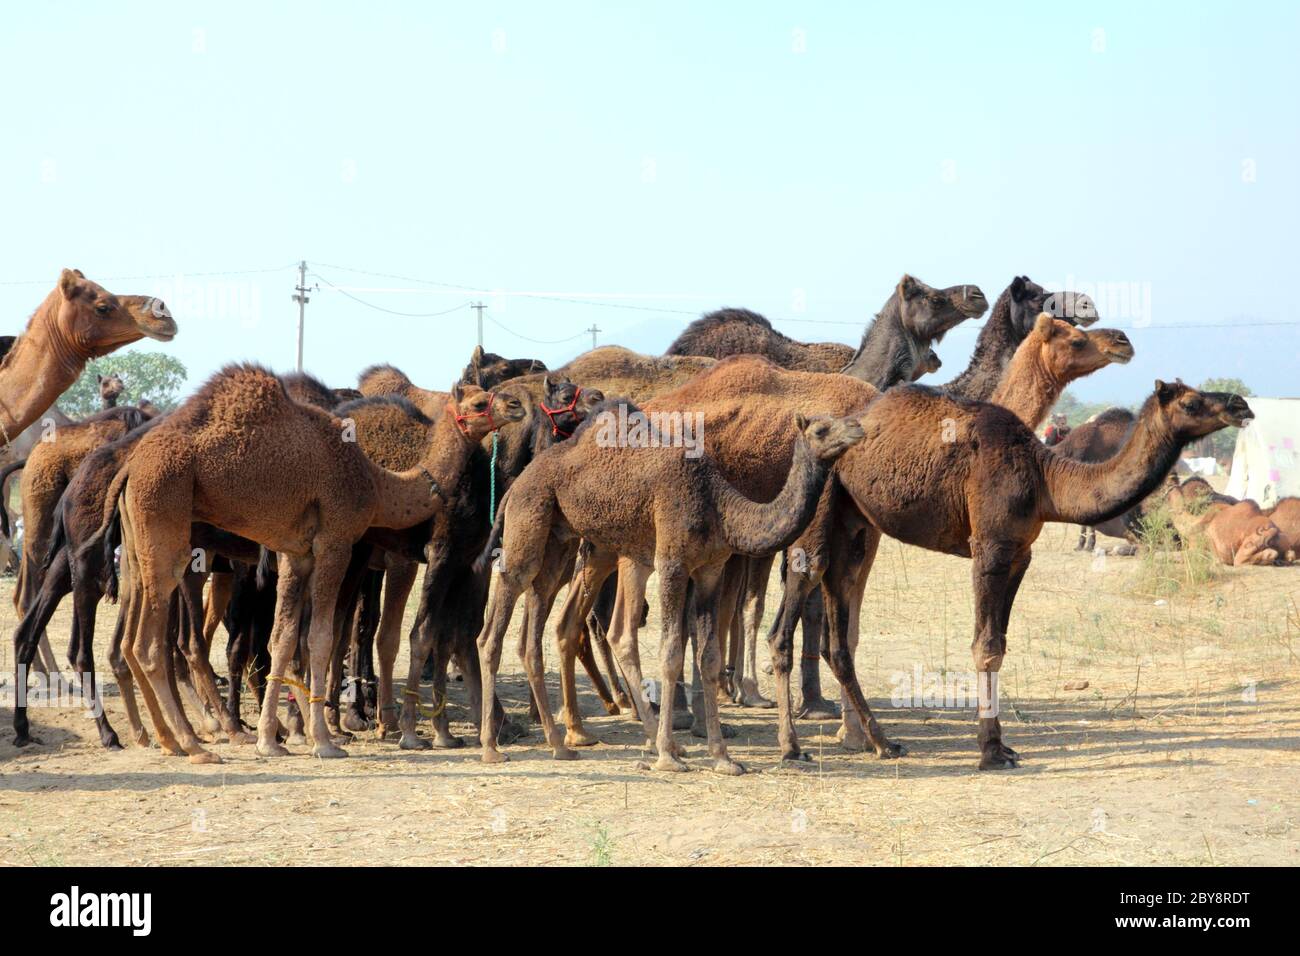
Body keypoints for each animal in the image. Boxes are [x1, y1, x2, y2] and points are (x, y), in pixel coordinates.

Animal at [98, 364, 524, 762]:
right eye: (478, 402)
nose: (515, 404)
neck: (377, 482)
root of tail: (128, 469)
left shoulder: (296, 553)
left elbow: (284, 639)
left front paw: (271, 740)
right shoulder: (336, 541)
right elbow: (321, 638)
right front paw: (324, 740)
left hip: (138, 545)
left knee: (134, 639)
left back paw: (169, 739)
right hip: (165, 525)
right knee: (150, 644)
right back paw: (196, 744)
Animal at [475, 393, 865, 773]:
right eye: (820, 429)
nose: (857, 427)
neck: (718, 505)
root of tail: (517, 484)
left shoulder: (710, 569)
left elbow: (708, 655)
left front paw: (722, 758)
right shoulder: (672, 563)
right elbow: (671, 652)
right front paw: (667, 757)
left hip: (563, 541)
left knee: (537, 623)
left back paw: (562, 744)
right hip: (531, 516)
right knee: (498, 617)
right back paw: (492, 747)